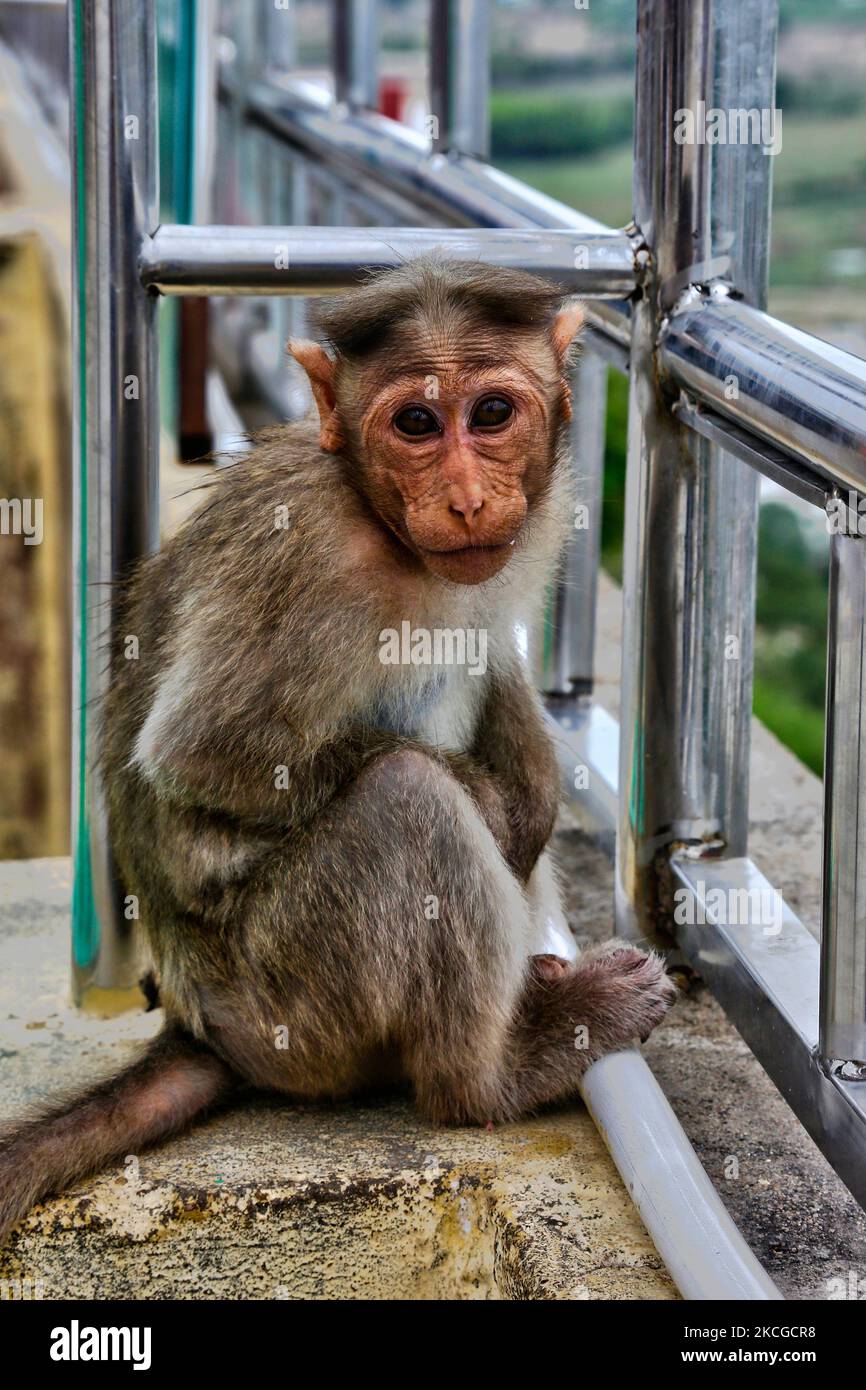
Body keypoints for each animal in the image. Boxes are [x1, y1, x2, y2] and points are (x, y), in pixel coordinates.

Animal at [0, 258, 675, 1245]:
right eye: (416, 424)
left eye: (492, 413)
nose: (467, 497)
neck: (380, 521)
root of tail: (199, 1026)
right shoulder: (308, 555)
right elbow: (204, 753)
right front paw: (503, 803)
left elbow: (493, 659)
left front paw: (535, 777)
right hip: (294, 993)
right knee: (406, 794)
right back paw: (500, 1070)